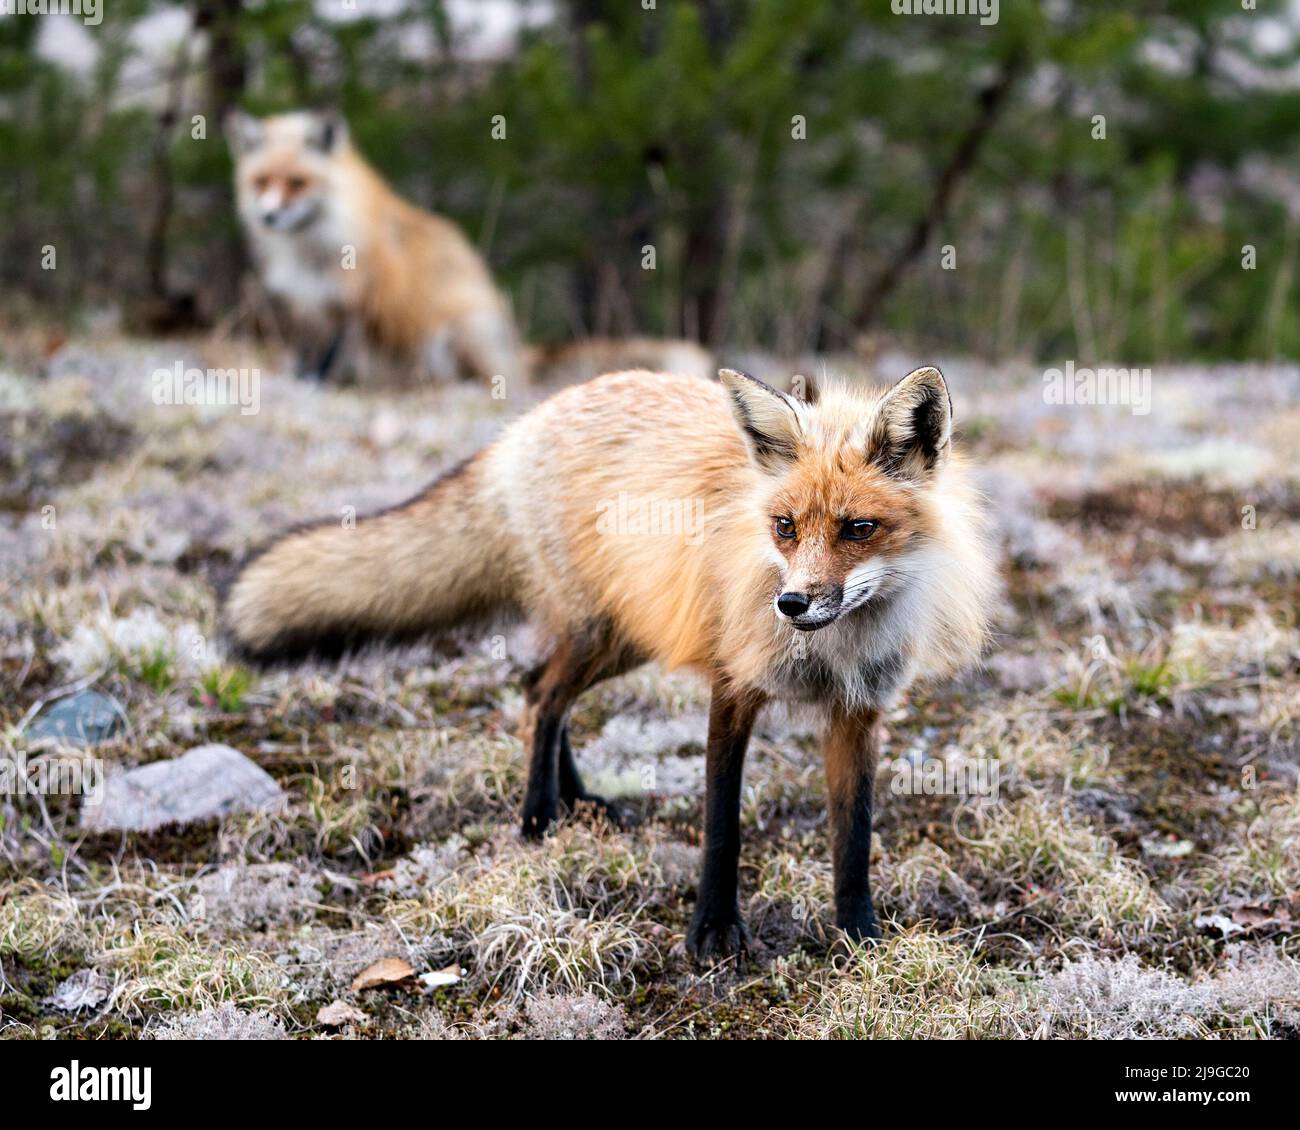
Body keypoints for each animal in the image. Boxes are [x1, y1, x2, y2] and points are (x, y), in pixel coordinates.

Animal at [223, 365, 996, 957]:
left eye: (858, 529)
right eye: (785, 527)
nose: (792, 603)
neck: (832, 650)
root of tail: (525, 424)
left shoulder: (859, 713)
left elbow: (853, 837)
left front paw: (859, 935)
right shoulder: (732, 687)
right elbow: (722, 826)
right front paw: (713, 932)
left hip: (626, 634)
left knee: (541, 691)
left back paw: (578, 799)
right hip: (598, 631)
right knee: (539, 694)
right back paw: (539, 817)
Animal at [226, 109, 522, 387]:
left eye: (298, 182)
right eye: (262, 180)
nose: (269, 216)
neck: (308, 249)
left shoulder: (352, 299)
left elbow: (329, 354)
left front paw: (318, 382)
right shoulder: (305, 299)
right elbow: (304, 350)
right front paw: (300, 378)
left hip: (459, 331)